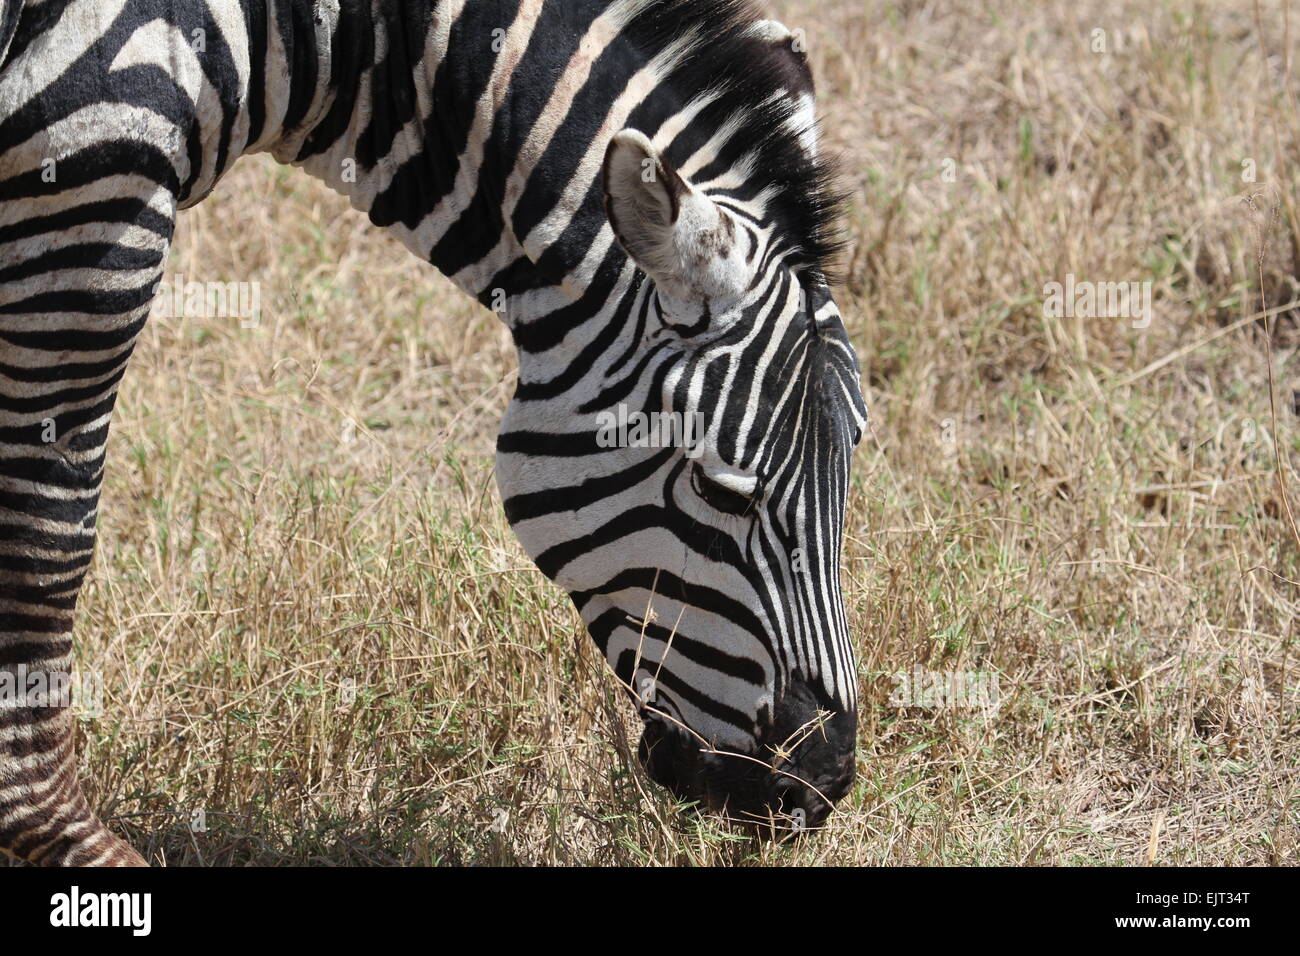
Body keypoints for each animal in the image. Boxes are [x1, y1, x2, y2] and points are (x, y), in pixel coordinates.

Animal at [0, 0, 868, 866]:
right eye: (721, 490)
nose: (822, 786)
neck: (294, 37)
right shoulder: (86, 179)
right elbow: (46, 544)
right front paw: (59, 834)